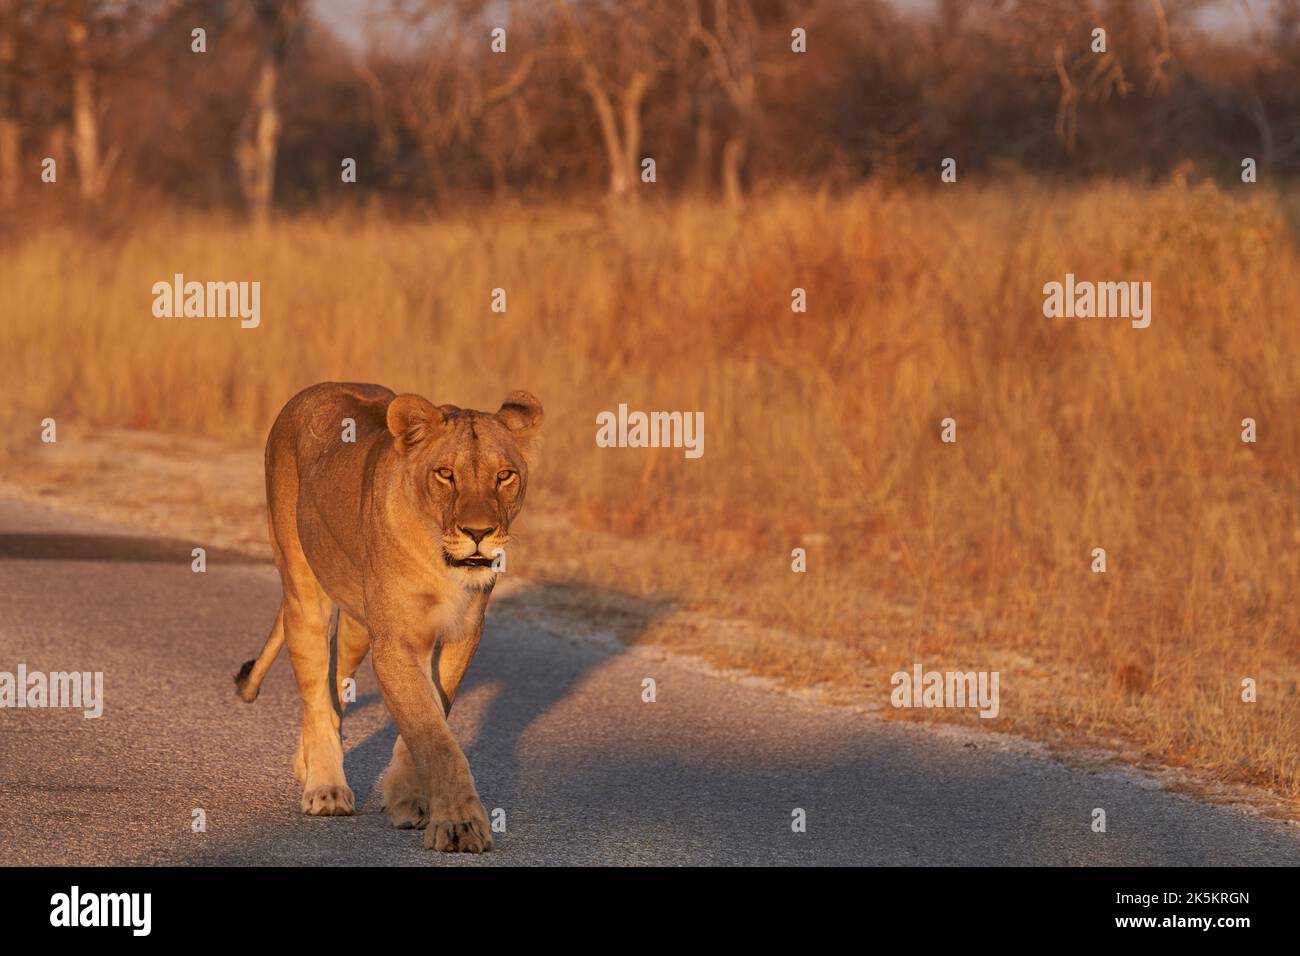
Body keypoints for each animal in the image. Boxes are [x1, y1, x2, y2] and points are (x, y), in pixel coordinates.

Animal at [233, 381, 542, 852]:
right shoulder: (395, 642)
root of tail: (313, 389)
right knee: (315, 692)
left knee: (335, 682)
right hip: (304, 592)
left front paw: (409, 799)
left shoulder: (462, 634)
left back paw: (309, 764)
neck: (441, 561)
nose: (478, 533)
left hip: (359, 624)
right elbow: (434, 735)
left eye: (505, 475)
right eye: (445, 474)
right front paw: (460, 824)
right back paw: (325, 786)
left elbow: (432, 716)